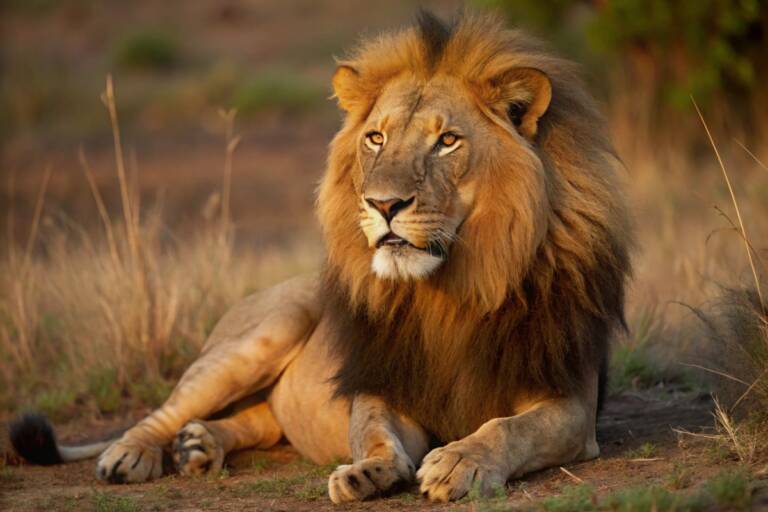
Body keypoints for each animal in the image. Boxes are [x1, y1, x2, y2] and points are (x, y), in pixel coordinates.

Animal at [10, 12, 632, 503]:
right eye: (377, 138)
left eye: (447, 141)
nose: (383, 204)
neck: (454, 289)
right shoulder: (386, 384)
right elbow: (374, 431)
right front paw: (368, 471)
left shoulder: (571, 404)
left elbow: (509, 428)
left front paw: (459, 460)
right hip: (266, 329)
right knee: (164, 410)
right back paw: (133, 454)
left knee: (257, 421)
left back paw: (200, 445)